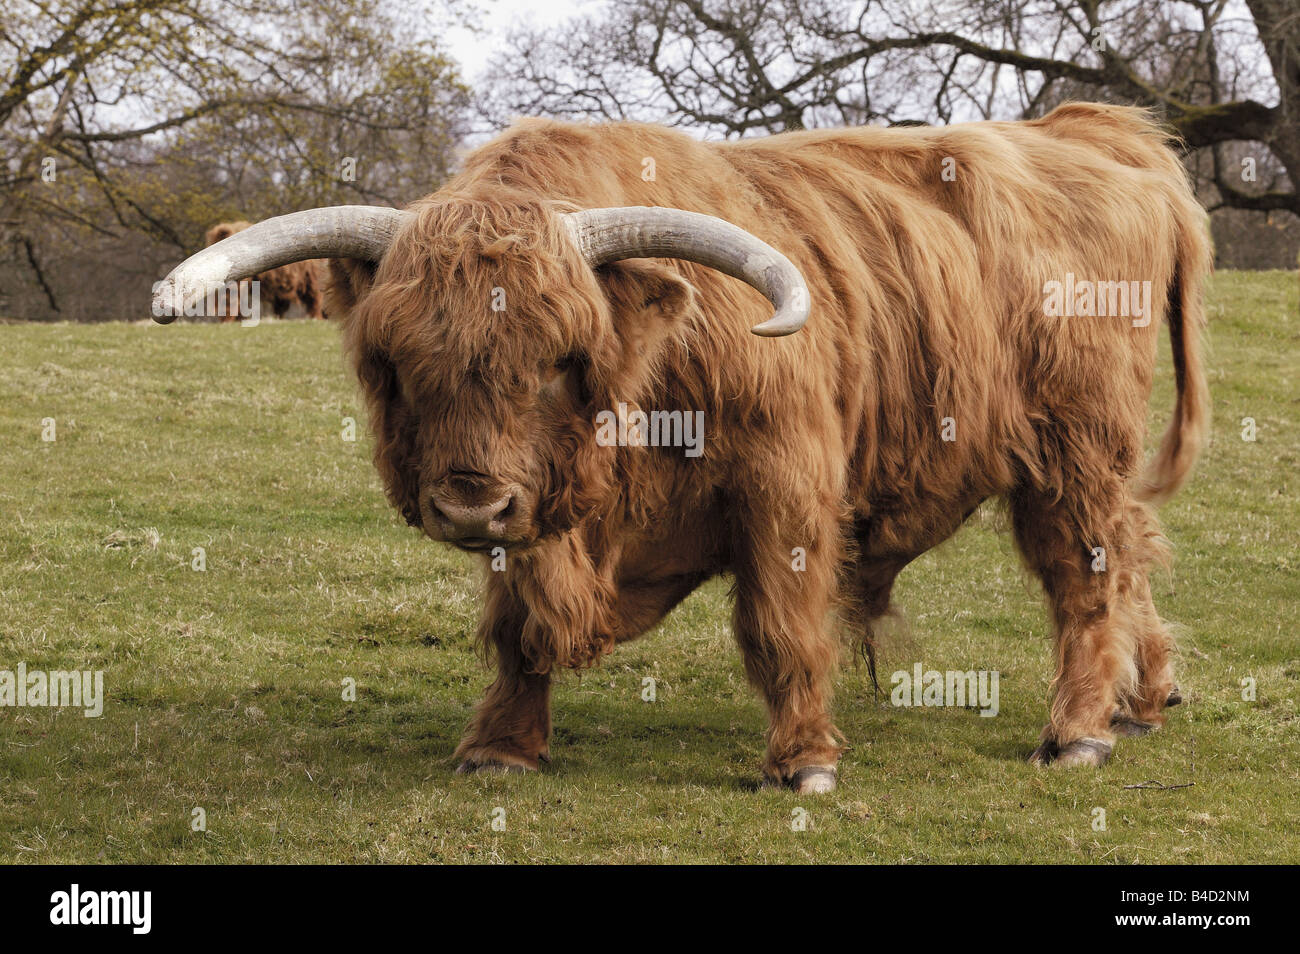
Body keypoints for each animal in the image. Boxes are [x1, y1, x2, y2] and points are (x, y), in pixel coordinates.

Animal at [154, 103, 1209, 792]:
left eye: (559, 361)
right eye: (401, 362)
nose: (467, 502)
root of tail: (1096, 132)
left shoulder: (786, 482)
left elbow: (780, 625)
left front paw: (803, 762)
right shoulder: (537, 520)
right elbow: (517, 630)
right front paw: (501, 746)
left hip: (1073, 446)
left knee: (1085, 571)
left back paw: (1079, 730)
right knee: (1133, 554)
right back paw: (1145, 698)